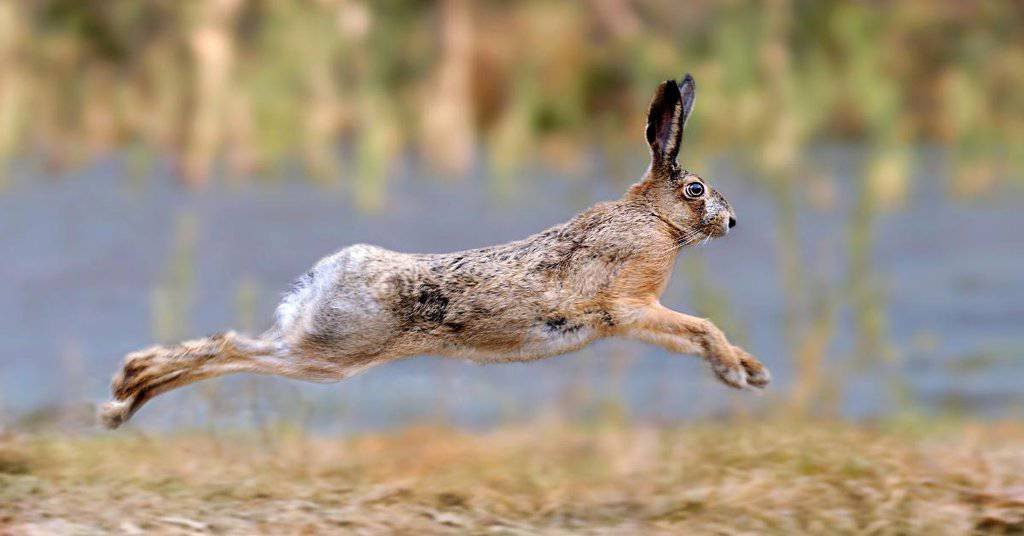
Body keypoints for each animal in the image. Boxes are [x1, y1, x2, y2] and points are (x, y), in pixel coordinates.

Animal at [100, 74, 769, 429]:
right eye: (695, 189)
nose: (734, 221)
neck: (651, 218)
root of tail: (324, 277)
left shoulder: (635, 318)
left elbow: (695, 334)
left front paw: (752, 370)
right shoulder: (629, 306)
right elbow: (701, 327)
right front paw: (737, 373)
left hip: (324, 350)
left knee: (236, 348)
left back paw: (128, 393)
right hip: (331, 353)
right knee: (236, 349)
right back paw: (126, 393)